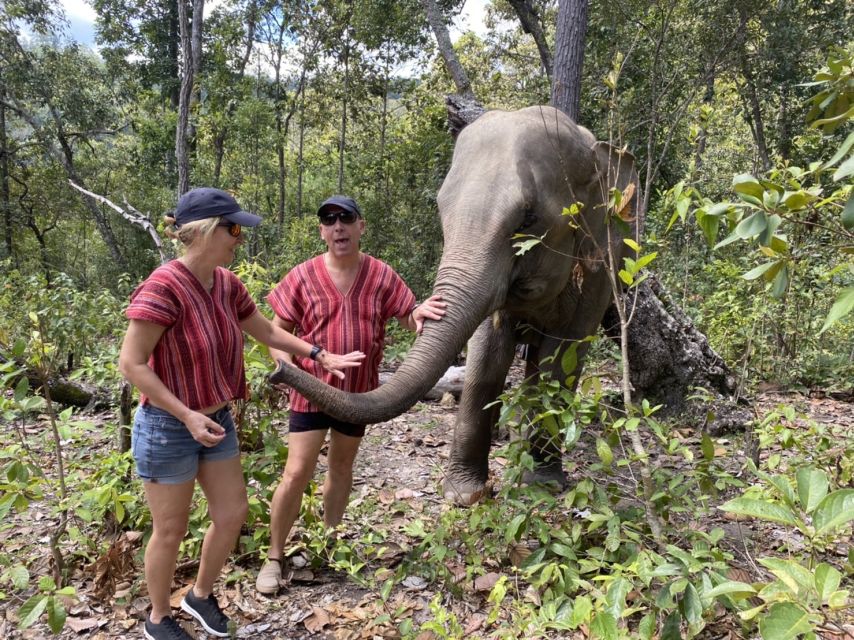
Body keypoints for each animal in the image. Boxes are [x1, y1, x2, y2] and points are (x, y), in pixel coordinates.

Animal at [270, 105, 639, 505]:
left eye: (528, 217)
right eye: (441, 206)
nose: (277, 369)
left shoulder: (602, 266)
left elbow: (562, 358)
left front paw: (542, 484)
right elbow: (486, 354)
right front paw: (464, 493)